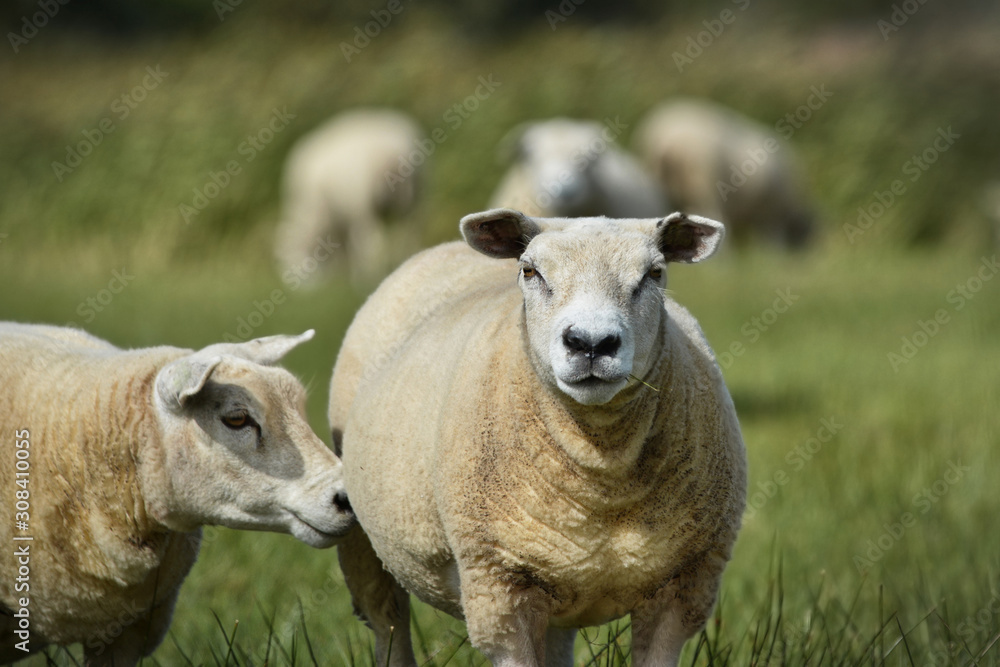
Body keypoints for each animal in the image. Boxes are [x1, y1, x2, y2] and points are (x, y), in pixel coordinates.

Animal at [275, 108, 426, 287]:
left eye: (293, 254)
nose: (296, 286)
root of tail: (392, 151)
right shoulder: (341, 218)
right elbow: (344, 247)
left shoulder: (340, 216)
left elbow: (348, 248)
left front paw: (350, 278)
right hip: (413, 197)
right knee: (410, 231)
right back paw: (407, 256)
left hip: (365, 204)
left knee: (374, 243)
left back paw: (372, 276)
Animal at [328, 208, 747, 667]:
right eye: (530, 271)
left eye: (654, 273)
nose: (590, 342)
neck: (603, 482)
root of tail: (447, 247)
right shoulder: (499, 587)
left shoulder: (684, 585)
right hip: (364, 542)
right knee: (388, 620)